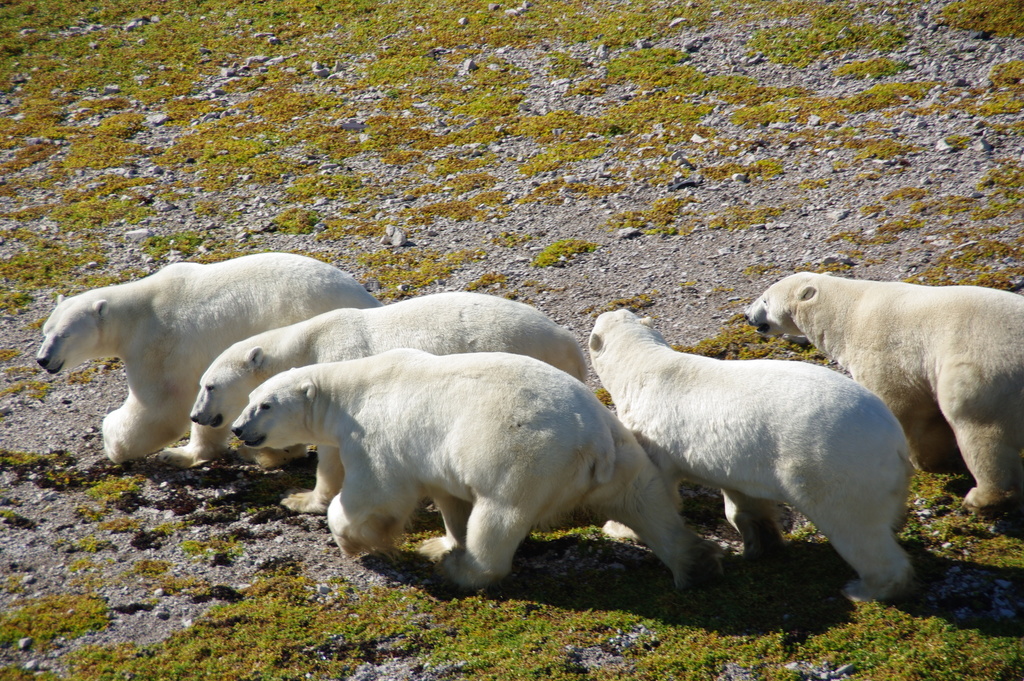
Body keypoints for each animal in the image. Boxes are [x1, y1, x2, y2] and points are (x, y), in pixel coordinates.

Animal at [36, 252, 381, 465]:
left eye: (64, 335)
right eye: (45, 330)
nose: (42, 359)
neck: (136, 313)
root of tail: (368, 301)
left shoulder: (158, 345)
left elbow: (160, 410)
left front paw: (115, 440)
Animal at [230, 349, 724, 591]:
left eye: (264, 404)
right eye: (249, 399)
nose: (237, 428)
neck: (348, 389)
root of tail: (592, 442)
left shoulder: (375, 435)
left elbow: (372, 495)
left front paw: (356, 541)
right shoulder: (435, 457)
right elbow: (450, 500)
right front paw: (440, 540)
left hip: (522, 459)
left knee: (498, 518)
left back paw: (463, 571)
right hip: (623, 453)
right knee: (647, 502)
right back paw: (695, 563)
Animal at [588, 309, 915, 602]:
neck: (644, 364)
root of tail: (893, 437)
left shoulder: (652, 435)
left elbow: (647, 489)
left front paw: (618, 528)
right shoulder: (736, 457)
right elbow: (744, 498)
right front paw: (759, 541)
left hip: (834, 465)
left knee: (855, 527)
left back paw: (864, 589)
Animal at [746, 272, 1024, 515]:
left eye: (765, 299)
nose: (747, 314)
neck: (846, 314)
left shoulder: (885, 352)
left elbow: (905, 410)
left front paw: (924, 462)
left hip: (984, 375)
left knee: (981, 432)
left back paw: (981, 498)